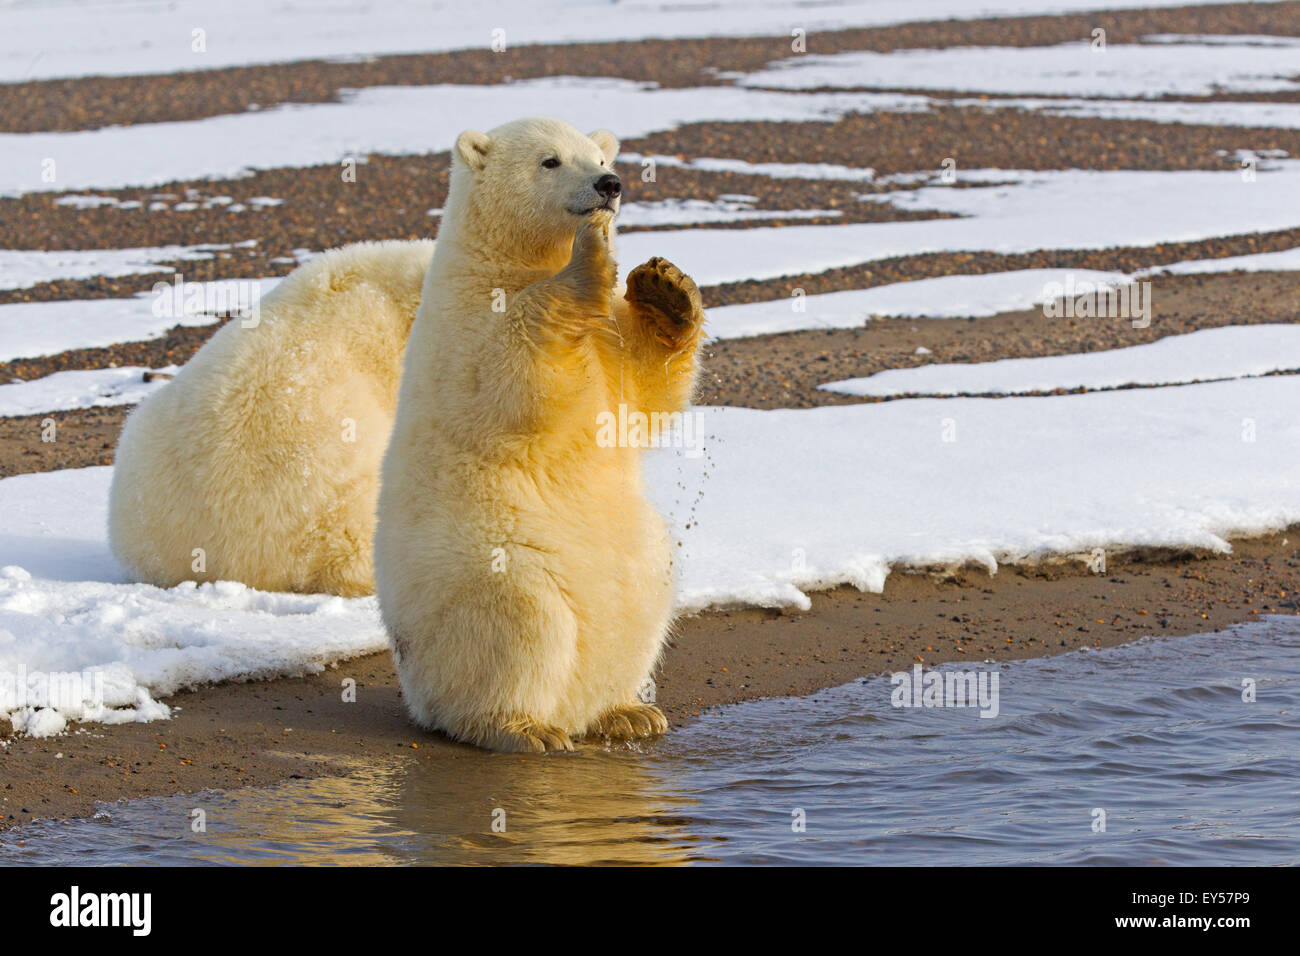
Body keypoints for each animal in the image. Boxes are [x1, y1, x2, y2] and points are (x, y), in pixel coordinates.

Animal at [374, 117, 706, 753]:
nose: (609, 184)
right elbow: (506, 376)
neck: (507, 260)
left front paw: (666, 287)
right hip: (490, 563)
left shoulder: (605, 346)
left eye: (599, 156)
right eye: (550, 161)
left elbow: (639, 395)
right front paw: (591, 257)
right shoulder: (462, 321)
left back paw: (625, 711)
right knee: (524, 621)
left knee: (643, 598)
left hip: (633, 557)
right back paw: (522, 726)